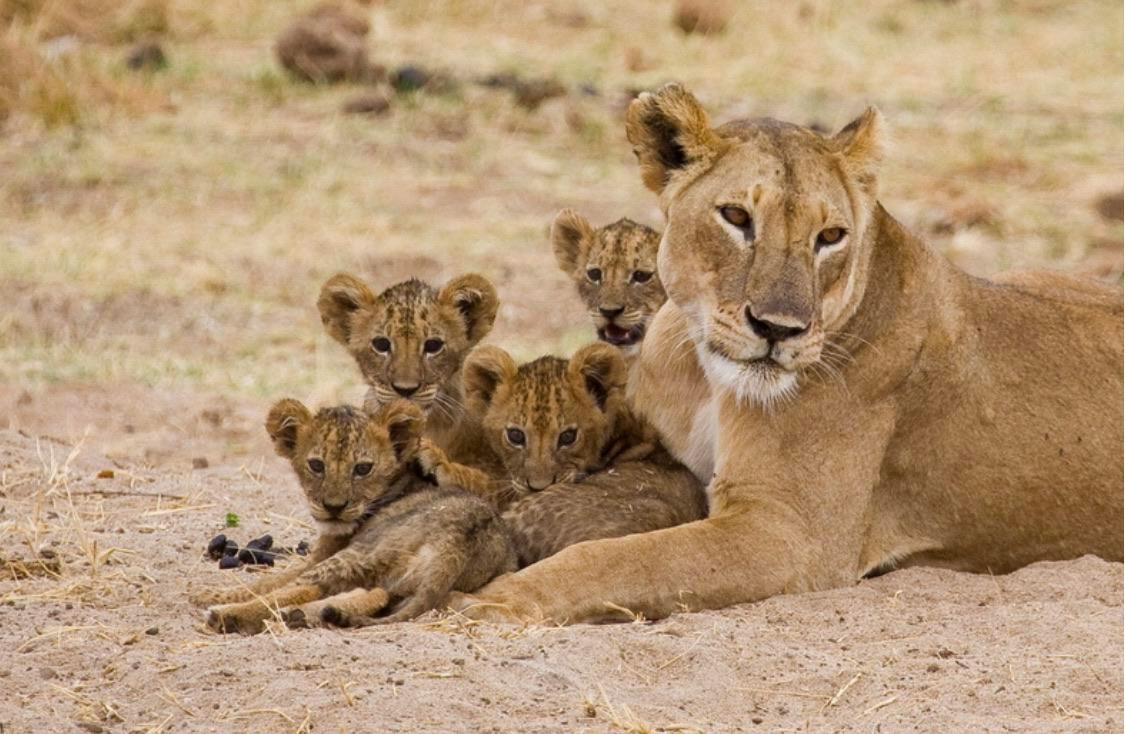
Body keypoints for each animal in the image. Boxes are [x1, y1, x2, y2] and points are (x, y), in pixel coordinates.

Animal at [197, 399, 516, 633]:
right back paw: (309, 615)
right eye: (316, 465)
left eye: (363, 468)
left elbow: (269, 583)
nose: (334, 507)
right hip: (398, 586)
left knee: (299, 588)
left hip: (363, 552)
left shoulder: (322, 554)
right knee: (370, 595)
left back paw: (224, 613)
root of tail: (458, 542)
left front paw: (210, 593)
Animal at [416, 342, 706, 565]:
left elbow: (492, 488)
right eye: (516, 436)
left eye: (568, 437)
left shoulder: (514, 497)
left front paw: (437, 461)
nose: (539, 486)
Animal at [453, 83, 1124, 624]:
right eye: (735, 216)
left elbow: (619, 560)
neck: (708, 373)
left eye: (830, 236)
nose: (779, 328)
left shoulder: (787, 532)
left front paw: (496, 598)